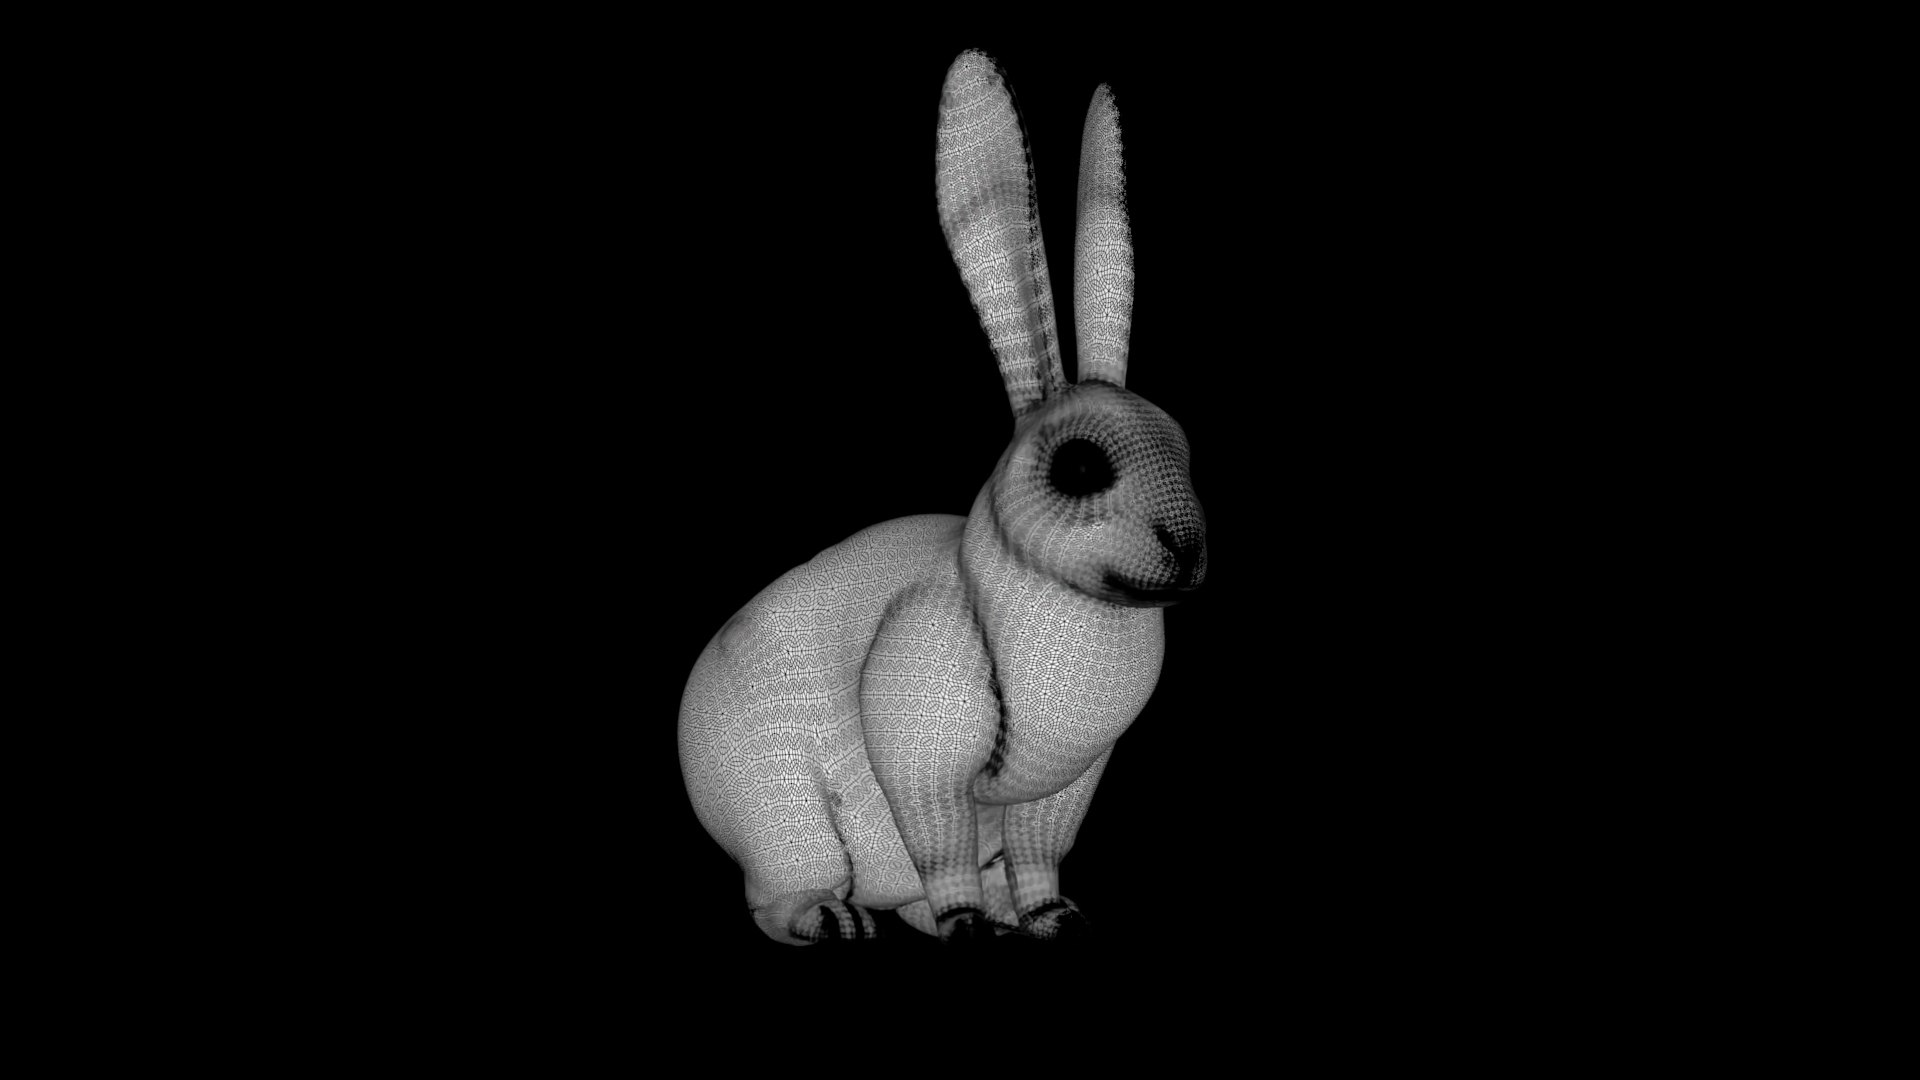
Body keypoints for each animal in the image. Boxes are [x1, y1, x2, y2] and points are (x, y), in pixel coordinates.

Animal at [677, 49, 1206, 945]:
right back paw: (841, 917)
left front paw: (1051, 918)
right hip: (781, 815)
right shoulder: (923, 737)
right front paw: (968, 919)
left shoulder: (1066, 786)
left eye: (1187, 448)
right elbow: (944, 845)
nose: (1189, 553)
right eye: (1079, 469)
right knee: (780, 897)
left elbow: (1037, 857)